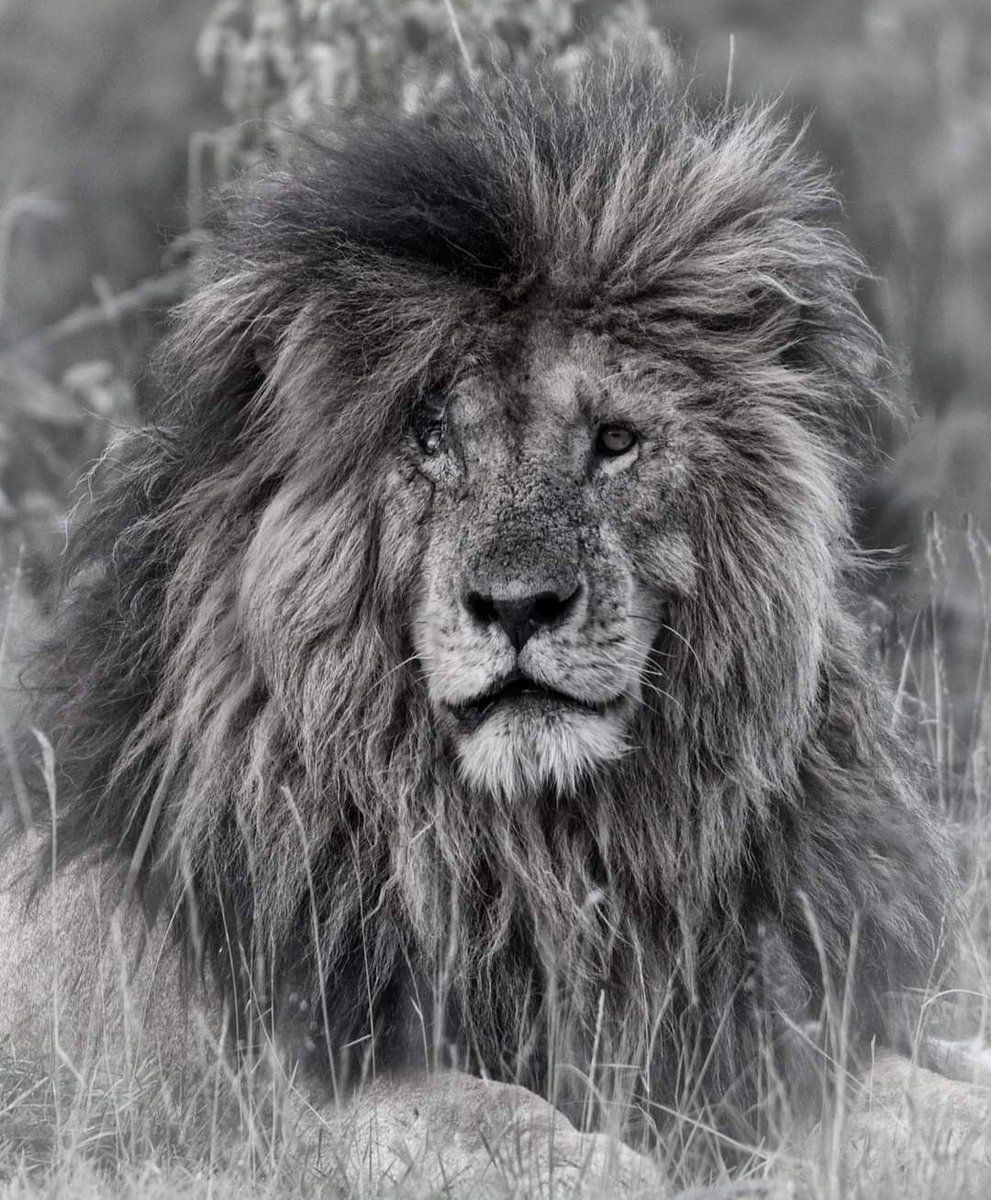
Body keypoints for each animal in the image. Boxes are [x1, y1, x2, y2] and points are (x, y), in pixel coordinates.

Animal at [1, 60, 986, 1195]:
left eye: (613, 442)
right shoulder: (260, 1107)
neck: (538, 850)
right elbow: (484, 1113)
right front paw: (605, 1167)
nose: (518, 606)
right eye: (429, 436)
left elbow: (908, 1093)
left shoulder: (746, 1032)